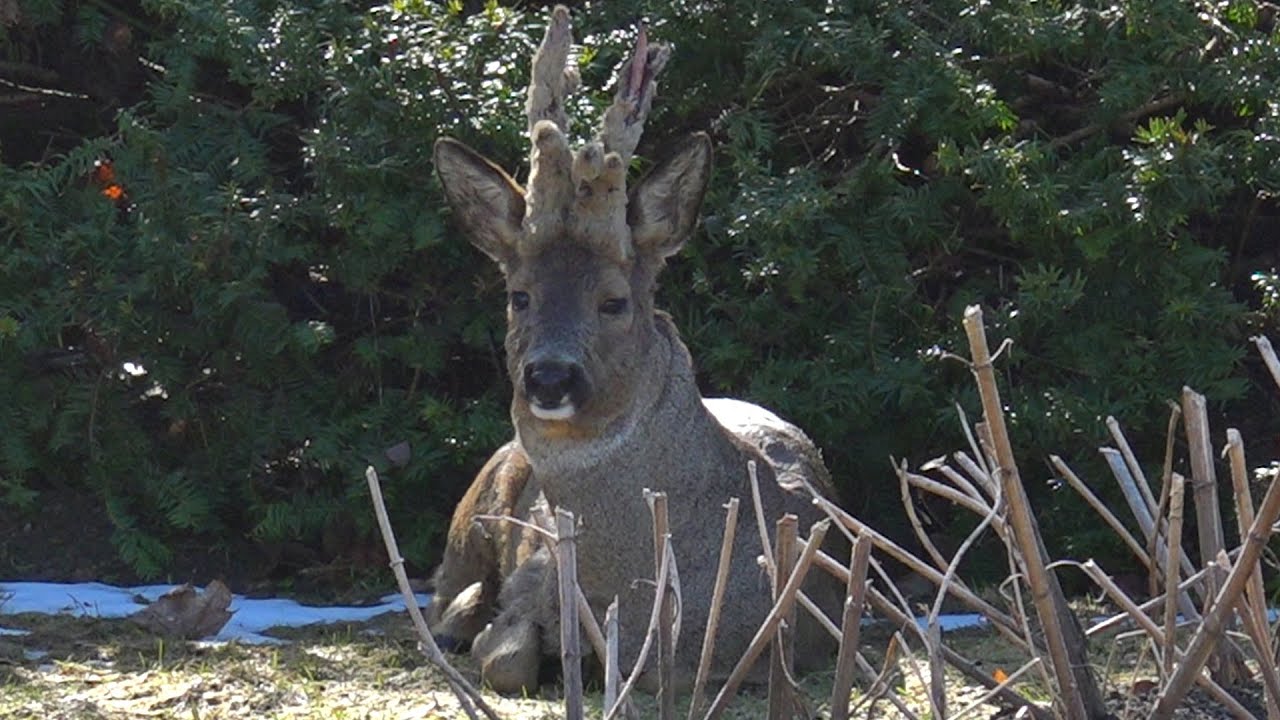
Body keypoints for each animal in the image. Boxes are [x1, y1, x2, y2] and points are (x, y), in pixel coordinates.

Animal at [428, 5, 843, 695]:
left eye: (615, 301)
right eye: (519, 295)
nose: (548, 378)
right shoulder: (535, 575)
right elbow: (507, 659)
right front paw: (486, 633)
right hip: (472, 517)